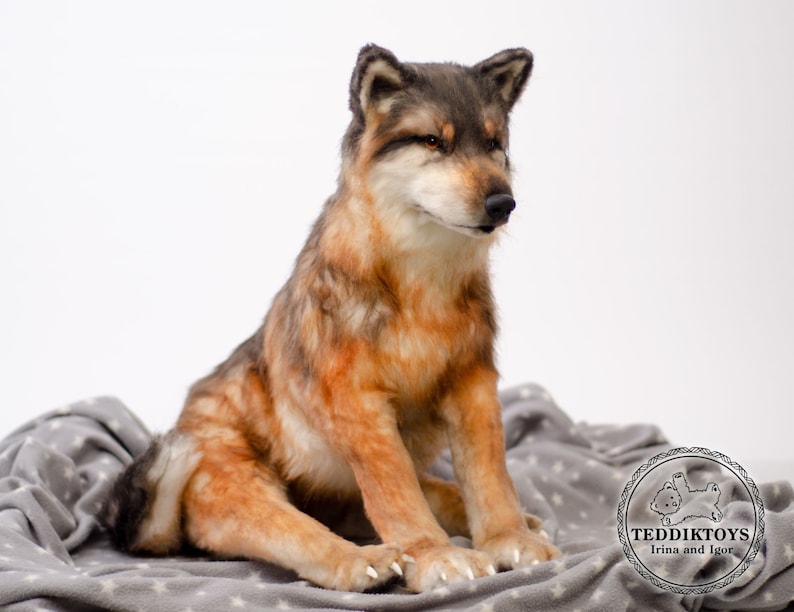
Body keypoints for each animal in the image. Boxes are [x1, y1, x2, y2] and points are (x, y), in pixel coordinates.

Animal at [101, 44, 560, 592]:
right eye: (433, 141)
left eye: (494, 144)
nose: (502, 202)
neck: (421, 286)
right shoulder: (360, 404)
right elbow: (396, 494)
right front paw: (435, 557)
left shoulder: (473, 386)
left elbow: (490, 477)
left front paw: (510, 539)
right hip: (247, 486)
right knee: (304, 532)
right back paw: (364, 563)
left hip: (348, 493)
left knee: (430, 493)